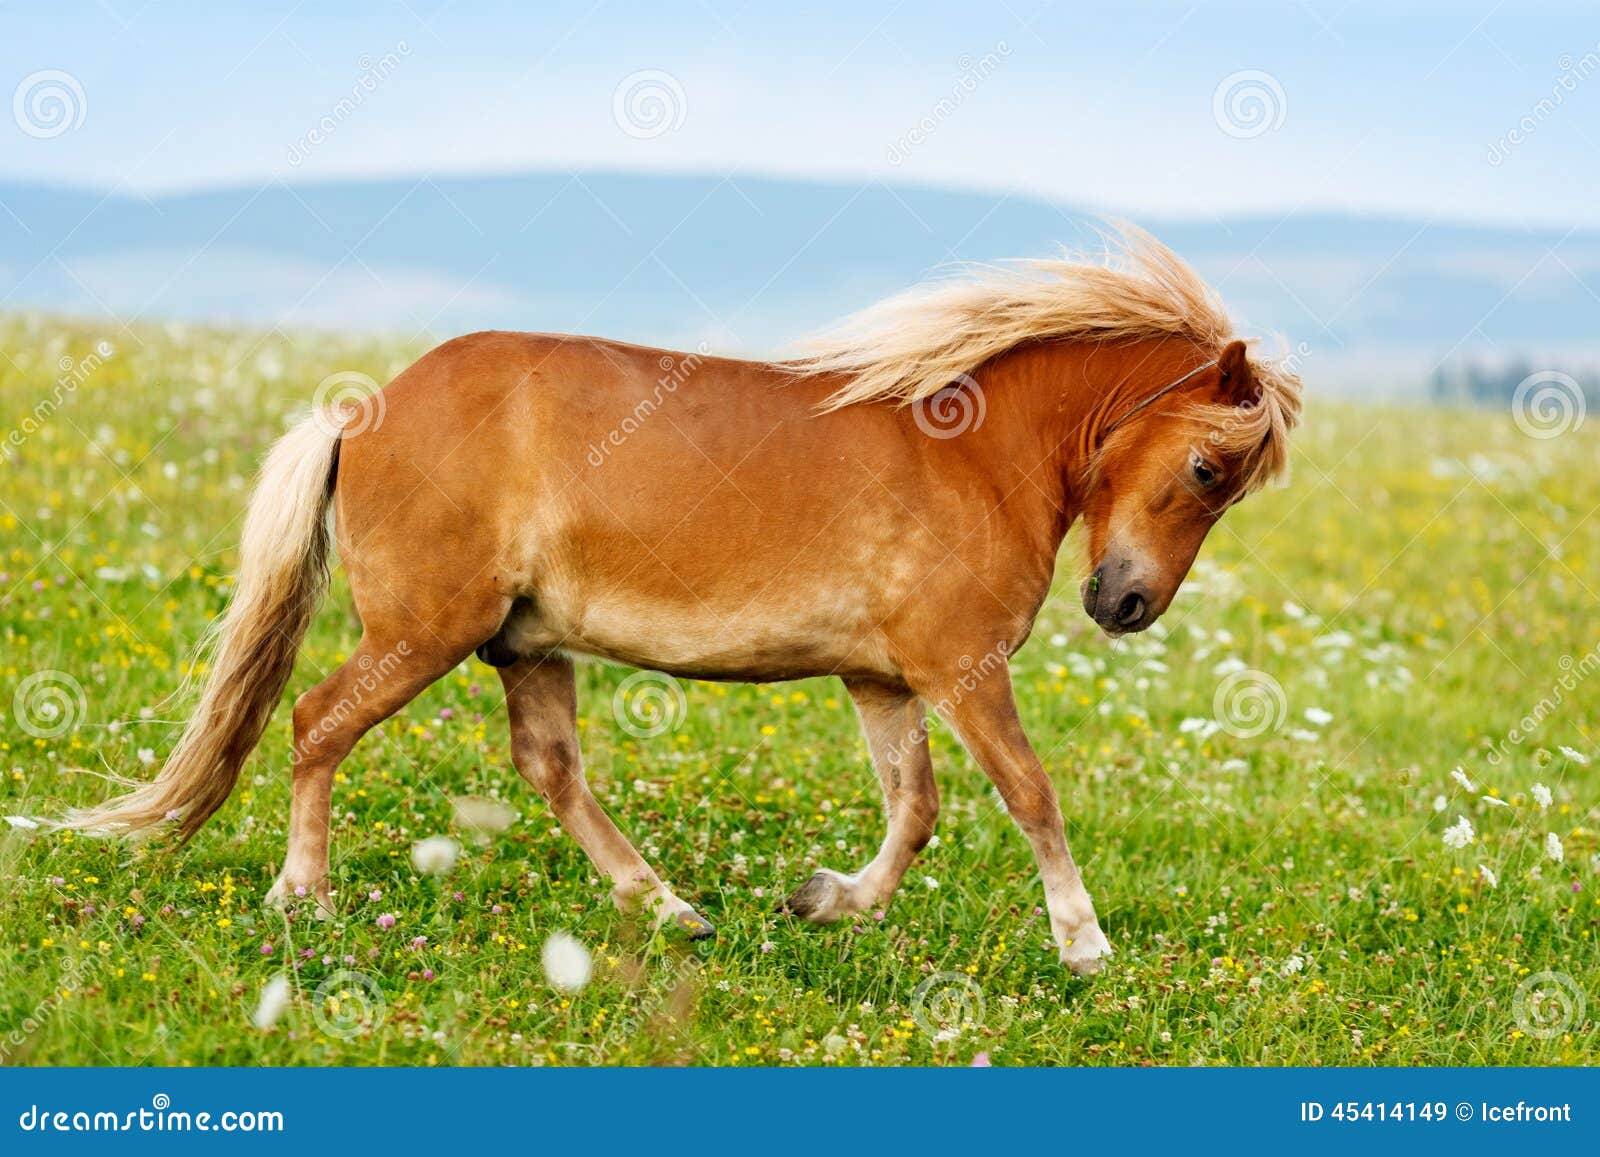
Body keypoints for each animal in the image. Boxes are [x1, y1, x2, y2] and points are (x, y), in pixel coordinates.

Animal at [64, 225, 1301, 976]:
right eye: (1206, 469)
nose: (1125, 603)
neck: (971, 453)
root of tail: (364, 410)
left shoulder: (882, 679)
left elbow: (915, 810)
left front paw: (825, 900)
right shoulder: (960, 669)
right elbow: (1031, 795)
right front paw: (1084, 945)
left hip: (525, 643)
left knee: (550, 769)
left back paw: (670, 908)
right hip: (427, 631)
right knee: (319, 722)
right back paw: (304, 896)